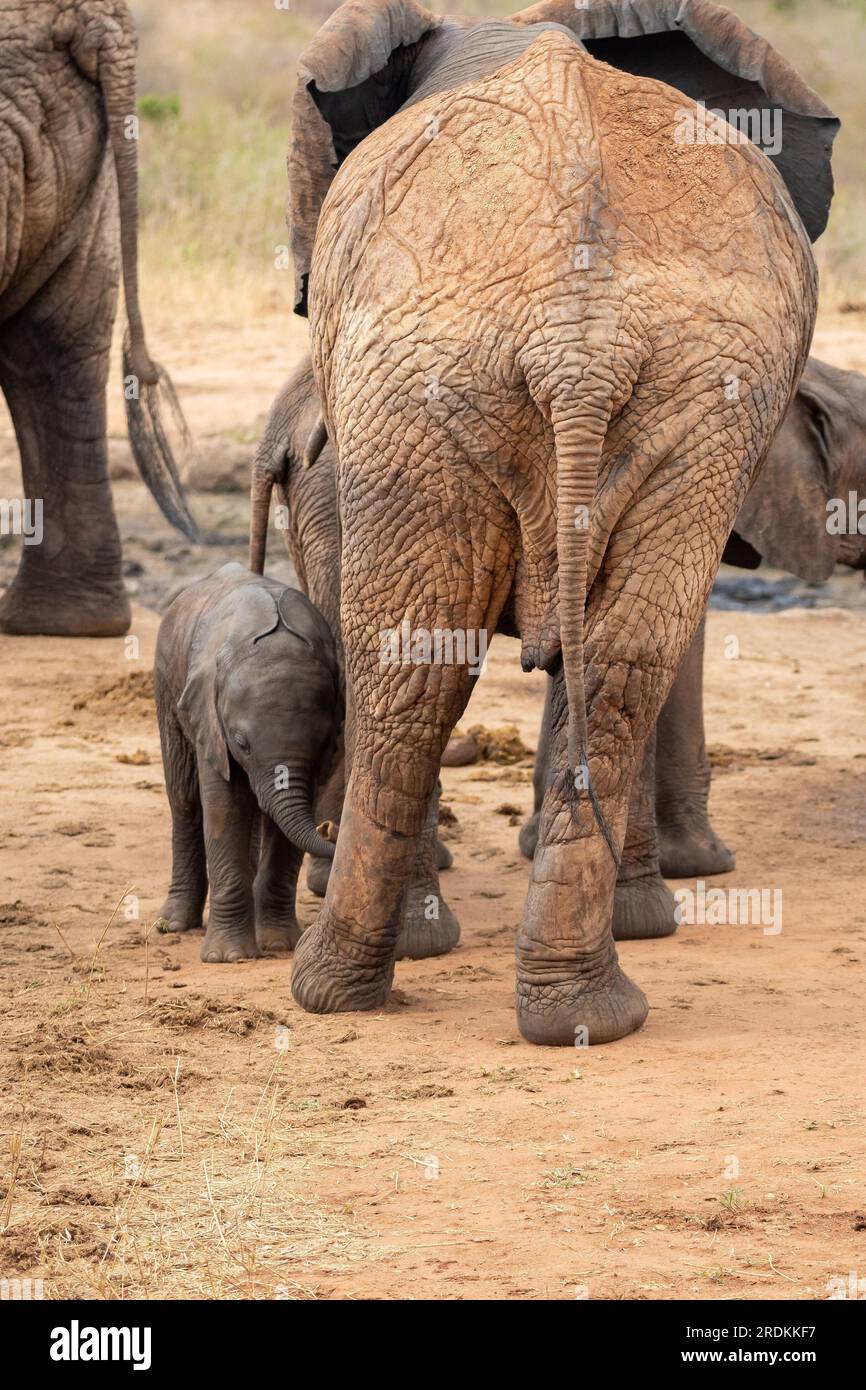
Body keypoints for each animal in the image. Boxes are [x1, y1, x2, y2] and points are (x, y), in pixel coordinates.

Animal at [154, 564, 340, 963]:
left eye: (322, 740)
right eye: (241, 743)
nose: (329, 828)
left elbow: (285, 822)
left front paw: (280, 945)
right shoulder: (210, 718)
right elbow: (223, 807)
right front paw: (229, 958)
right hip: (166, 684)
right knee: (184, 799)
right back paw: (173, 924)